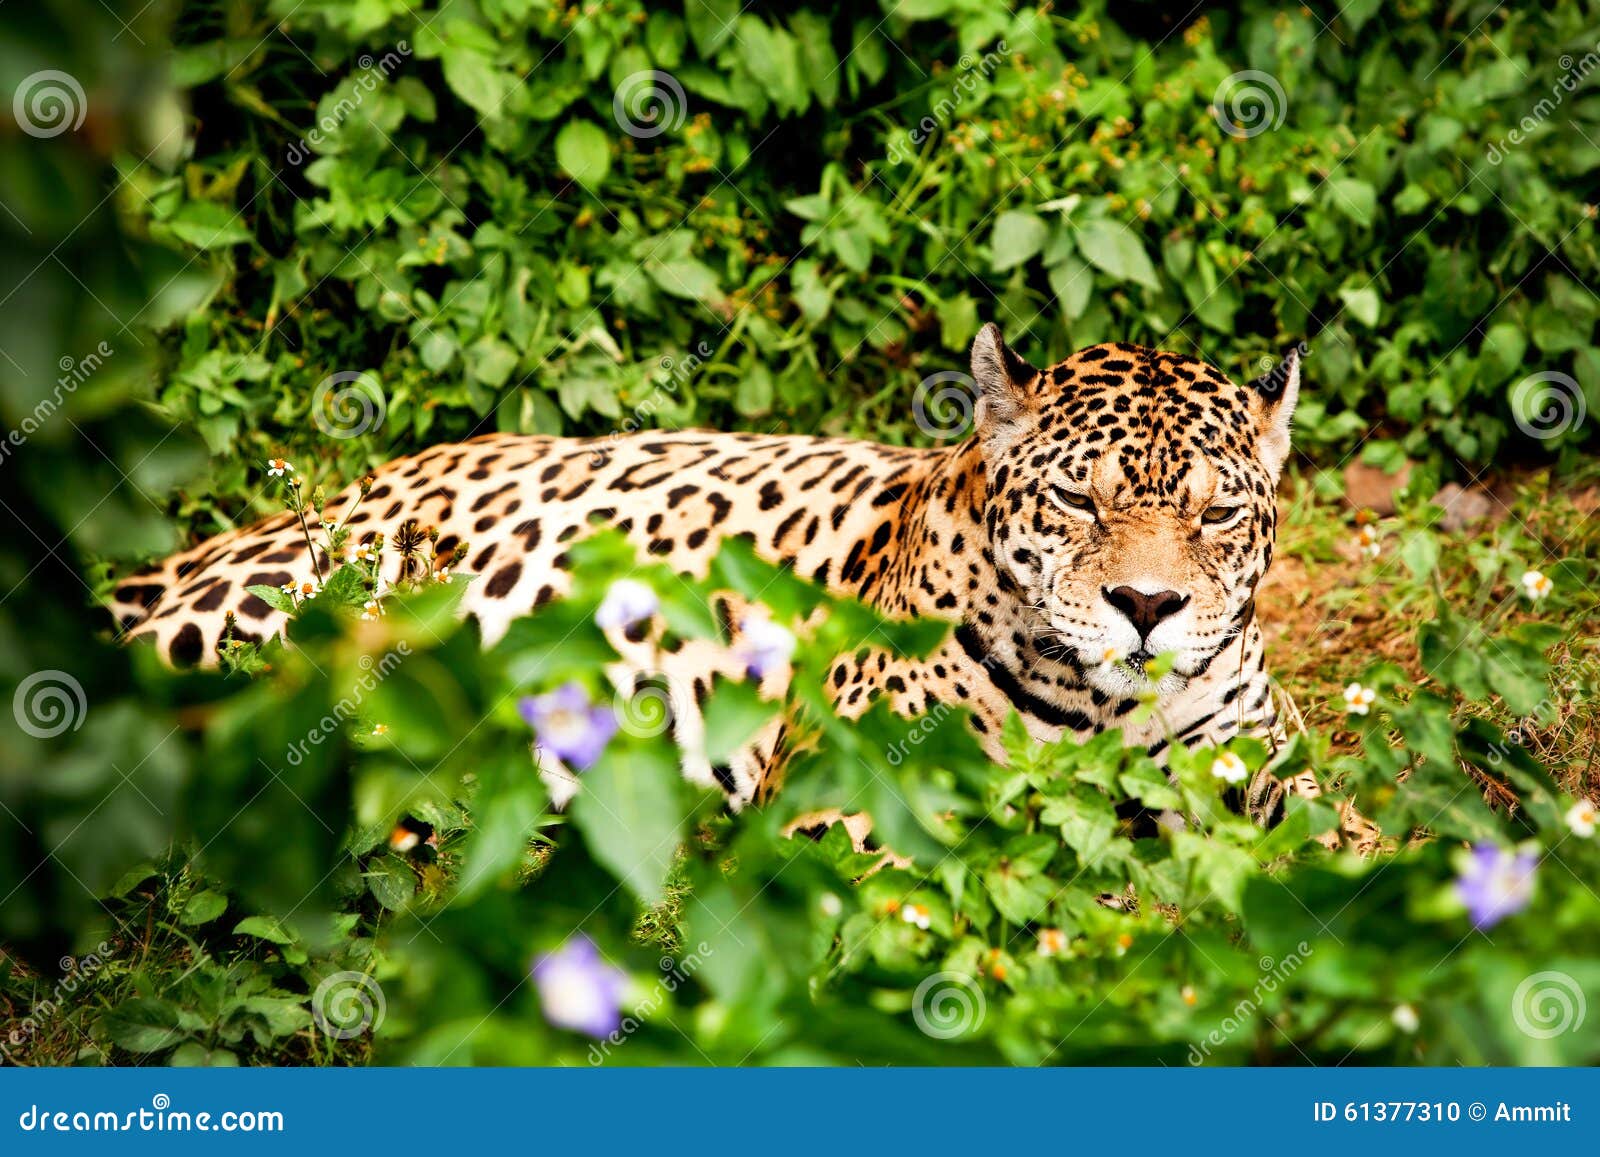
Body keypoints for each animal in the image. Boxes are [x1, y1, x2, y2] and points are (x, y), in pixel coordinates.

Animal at [111, 324, 1346, 837]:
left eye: (1216, 514)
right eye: (1080, 504)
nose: (1147, 608)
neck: (1105, 710)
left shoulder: (1259, 754)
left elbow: (1357, 833)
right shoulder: (854, 794)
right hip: (265, 612)